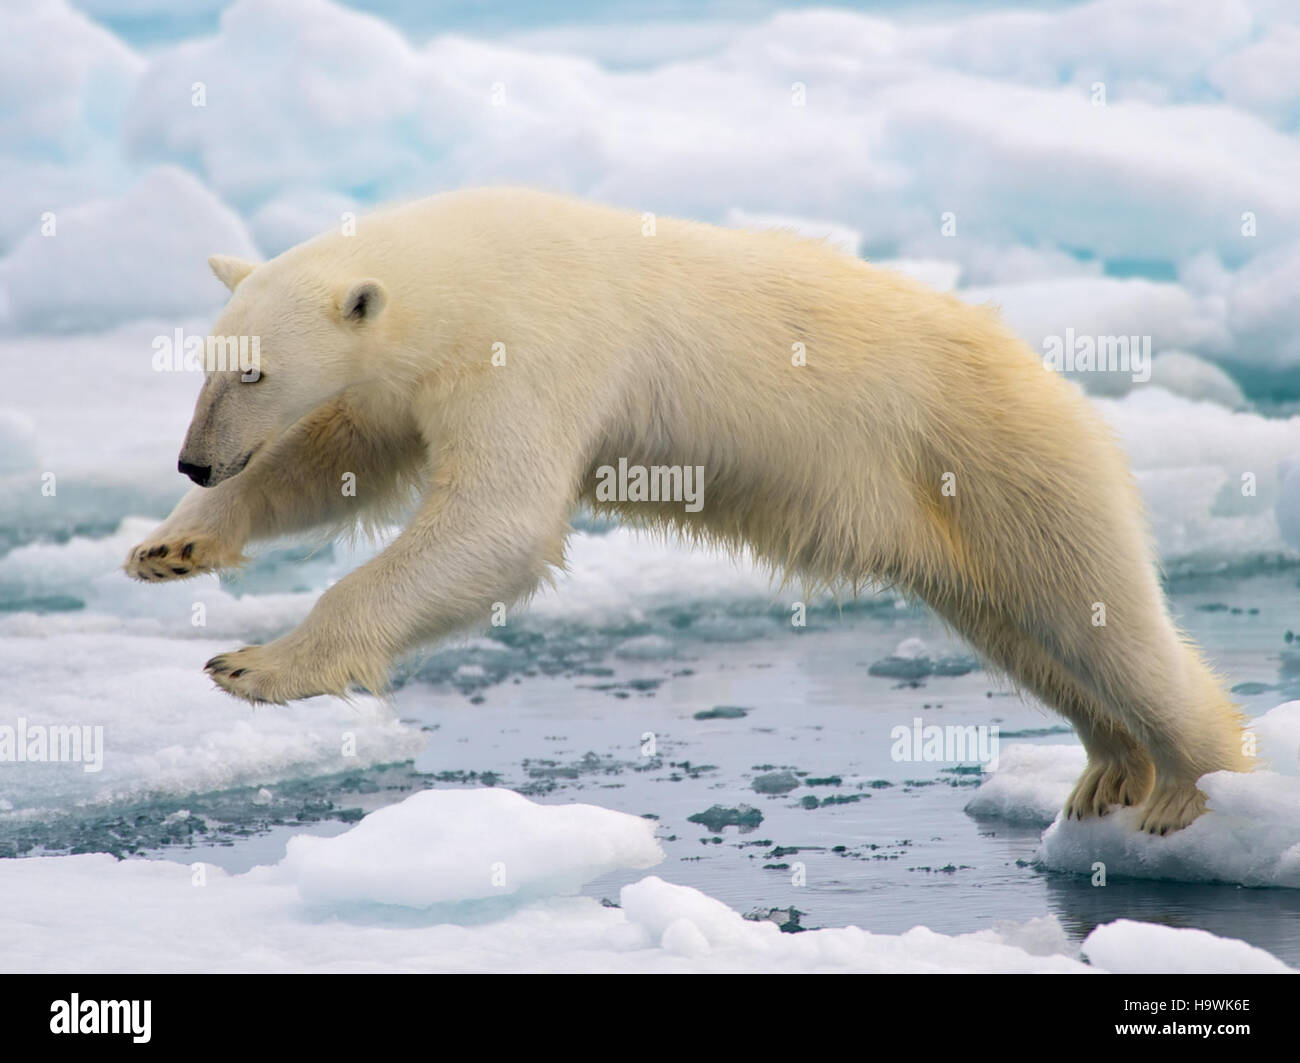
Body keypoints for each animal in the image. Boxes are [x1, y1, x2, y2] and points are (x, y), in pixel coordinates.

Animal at [125, 187, 1250, 834]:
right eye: (210, 362)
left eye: (255, 372)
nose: (193, 458)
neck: (466, 269)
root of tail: (1055, 381)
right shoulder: (412, 379)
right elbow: (338, 459)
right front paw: (172, 546)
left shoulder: (531, 347)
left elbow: (496, 519)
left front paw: (255, 664)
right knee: (1025, 632)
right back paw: (1108, 769)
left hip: (1002, 461)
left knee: (1101, 617)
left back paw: (1189, 786)